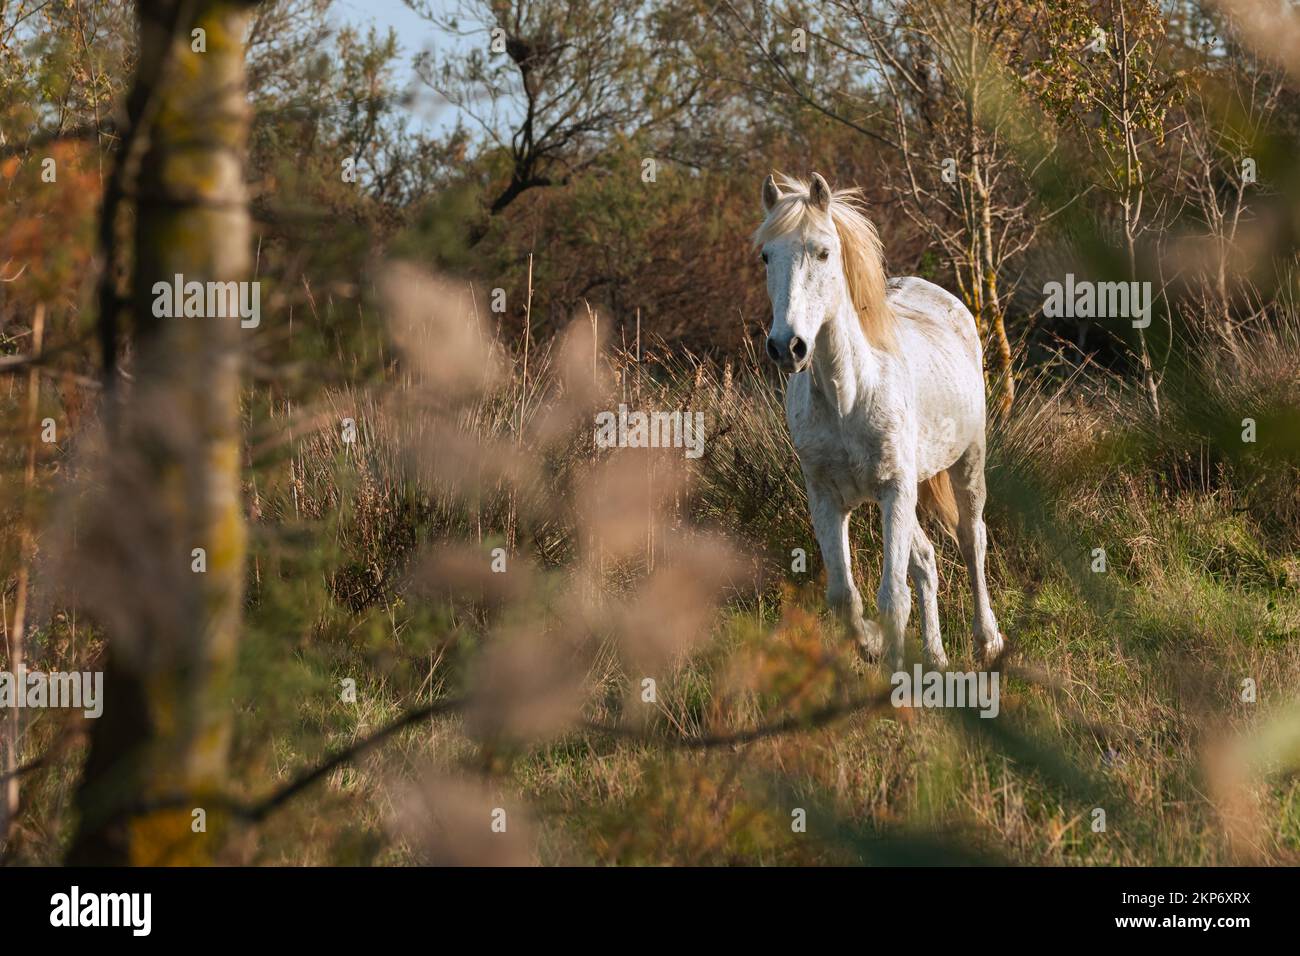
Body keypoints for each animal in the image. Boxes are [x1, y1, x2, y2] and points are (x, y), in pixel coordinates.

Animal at [754, 171, 1003, 672]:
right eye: (767, 255)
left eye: (823, 252)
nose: (787, 346)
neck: (847, 397)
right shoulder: (827, 497)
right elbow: (843, 595)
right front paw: (870, 643)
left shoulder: (895, 489)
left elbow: (892, 595)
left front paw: (895, 669)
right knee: (926, 560)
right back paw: (937, 656)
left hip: (966, 463)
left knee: (972, 541)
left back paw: (987, 642)